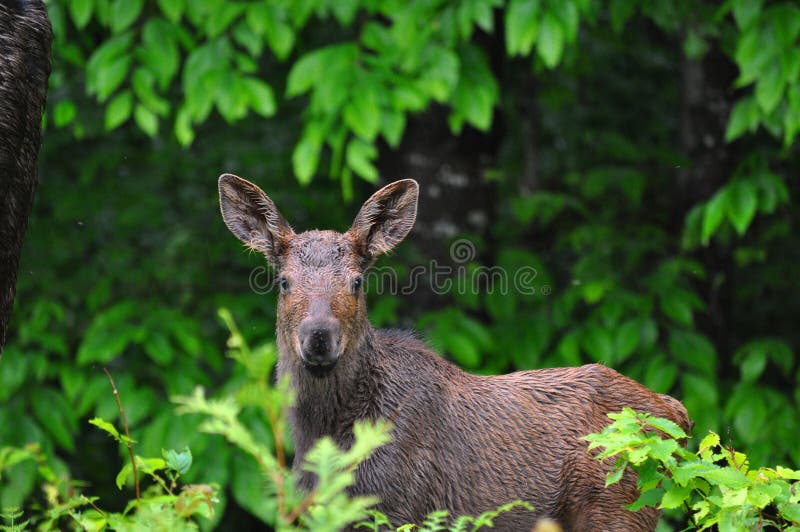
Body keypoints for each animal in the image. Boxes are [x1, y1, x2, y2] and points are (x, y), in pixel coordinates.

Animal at [218, 174, 692, 531]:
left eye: (356, 280)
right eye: (284, 281)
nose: (319, 337)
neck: (322, 436)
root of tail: (675, 410)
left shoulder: (400, 510)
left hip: (618, 508)